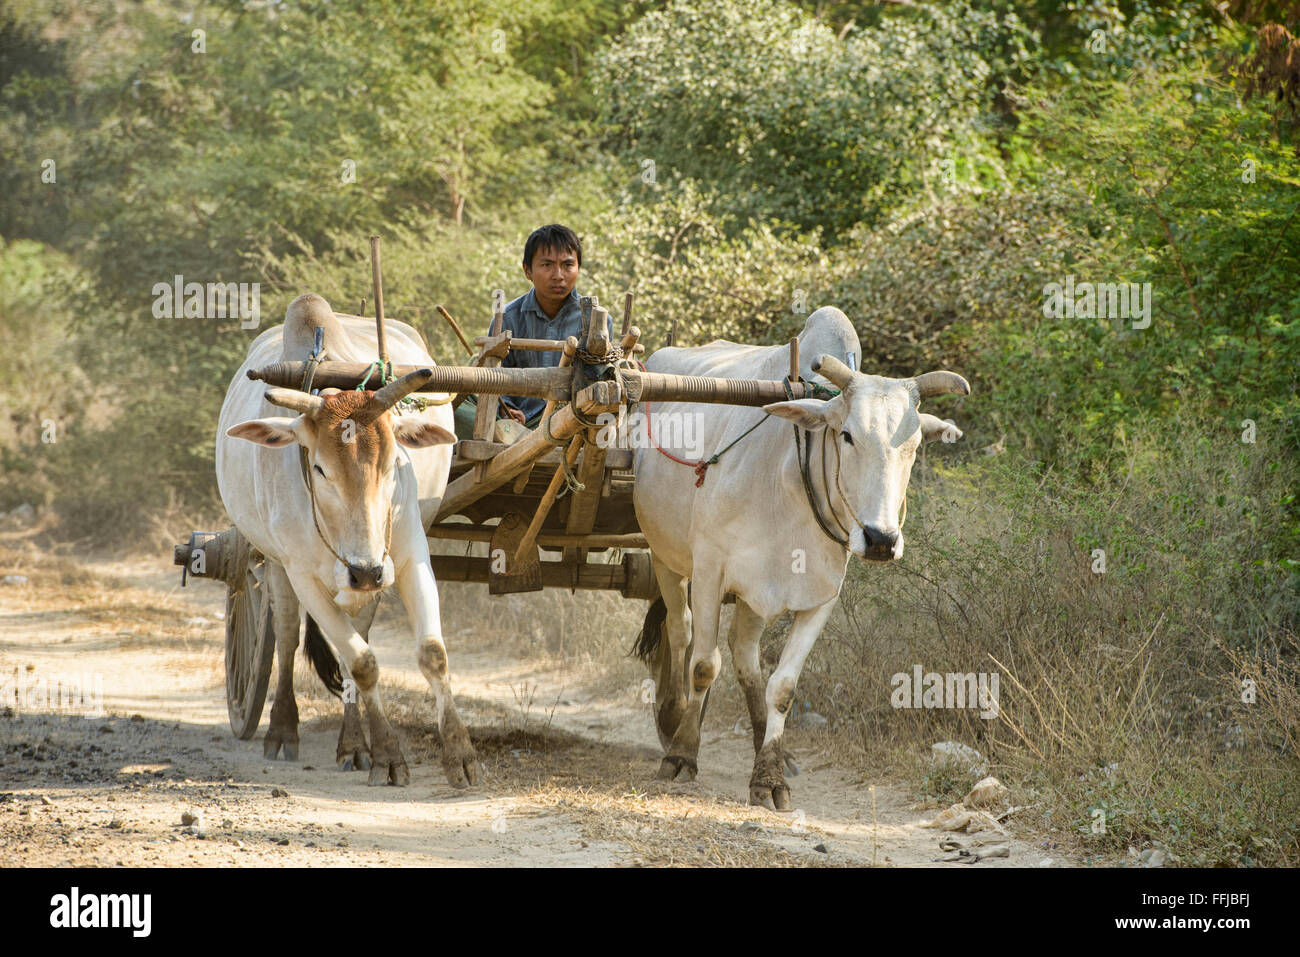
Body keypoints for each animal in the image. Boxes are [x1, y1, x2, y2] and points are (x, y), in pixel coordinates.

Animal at [216, 293, 479, 789]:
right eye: (320, 468)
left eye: (395, 461)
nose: (366, 570)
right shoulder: (303, 573)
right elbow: (361, 661)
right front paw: (390, 754)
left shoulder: (409, 553)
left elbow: (431, 654)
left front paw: (460, 754)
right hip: (278, 566)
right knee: (288, 637)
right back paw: (285, 729)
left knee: (356, 636)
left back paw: (354, 743)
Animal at [632, 306, 968, 809]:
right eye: (846, 435)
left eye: (913, 447)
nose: (881, 539)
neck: (792, 473)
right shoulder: (710, 571)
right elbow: (704, 666)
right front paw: (682, 755)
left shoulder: (819, 595)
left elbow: (783, 687)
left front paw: (769, 775)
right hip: (666, 560)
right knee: (682, 632)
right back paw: (673, 719)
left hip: (751, 598)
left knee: (745, 655)